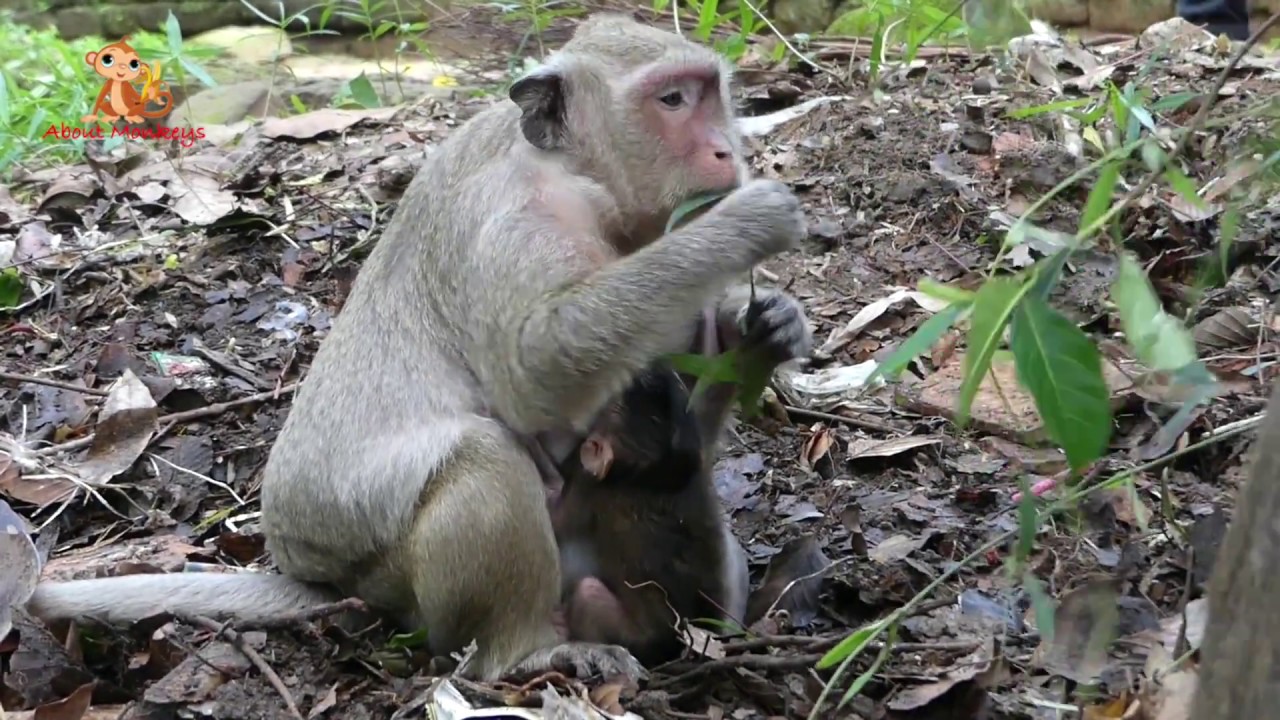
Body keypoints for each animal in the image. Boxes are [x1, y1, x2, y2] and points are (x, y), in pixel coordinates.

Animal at [548, 359, 750, 666]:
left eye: (620, 397)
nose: (654, 364)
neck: (647, 476)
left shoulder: (589, 490)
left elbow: (558, 521)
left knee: (588, 594)